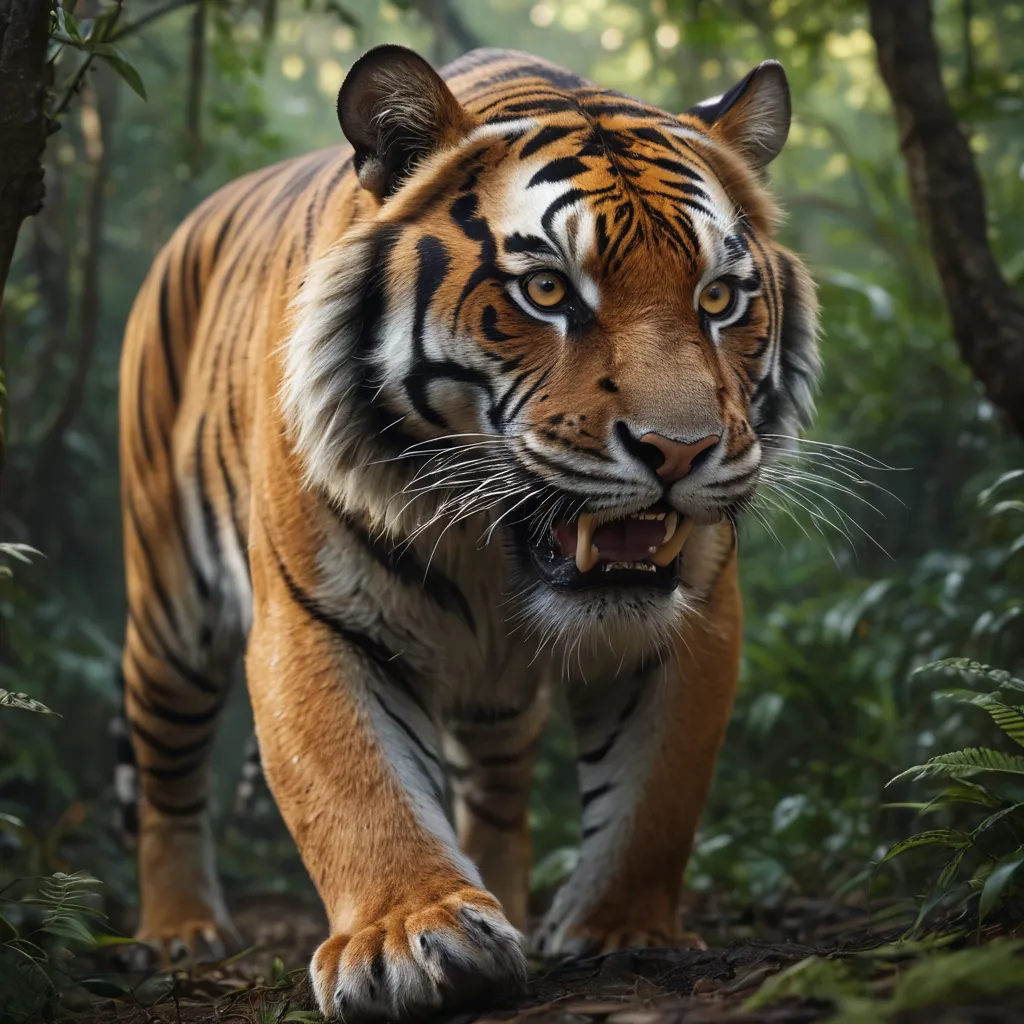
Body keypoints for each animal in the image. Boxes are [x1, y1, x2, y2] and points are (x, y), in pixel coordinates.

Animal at [117, 44, 819, 1019]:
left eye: (719, 297)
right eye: (548, 290)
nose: (680, 451)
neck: (498, 553)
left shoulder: (697, 616)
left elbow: (658, 794)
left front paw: (620, 931)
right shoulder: (315, 616)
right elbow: (355, 784)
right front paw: (410, 939)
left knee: (497, 785)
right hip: (169, 614)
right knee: (167, 772)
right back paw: (180, 928)